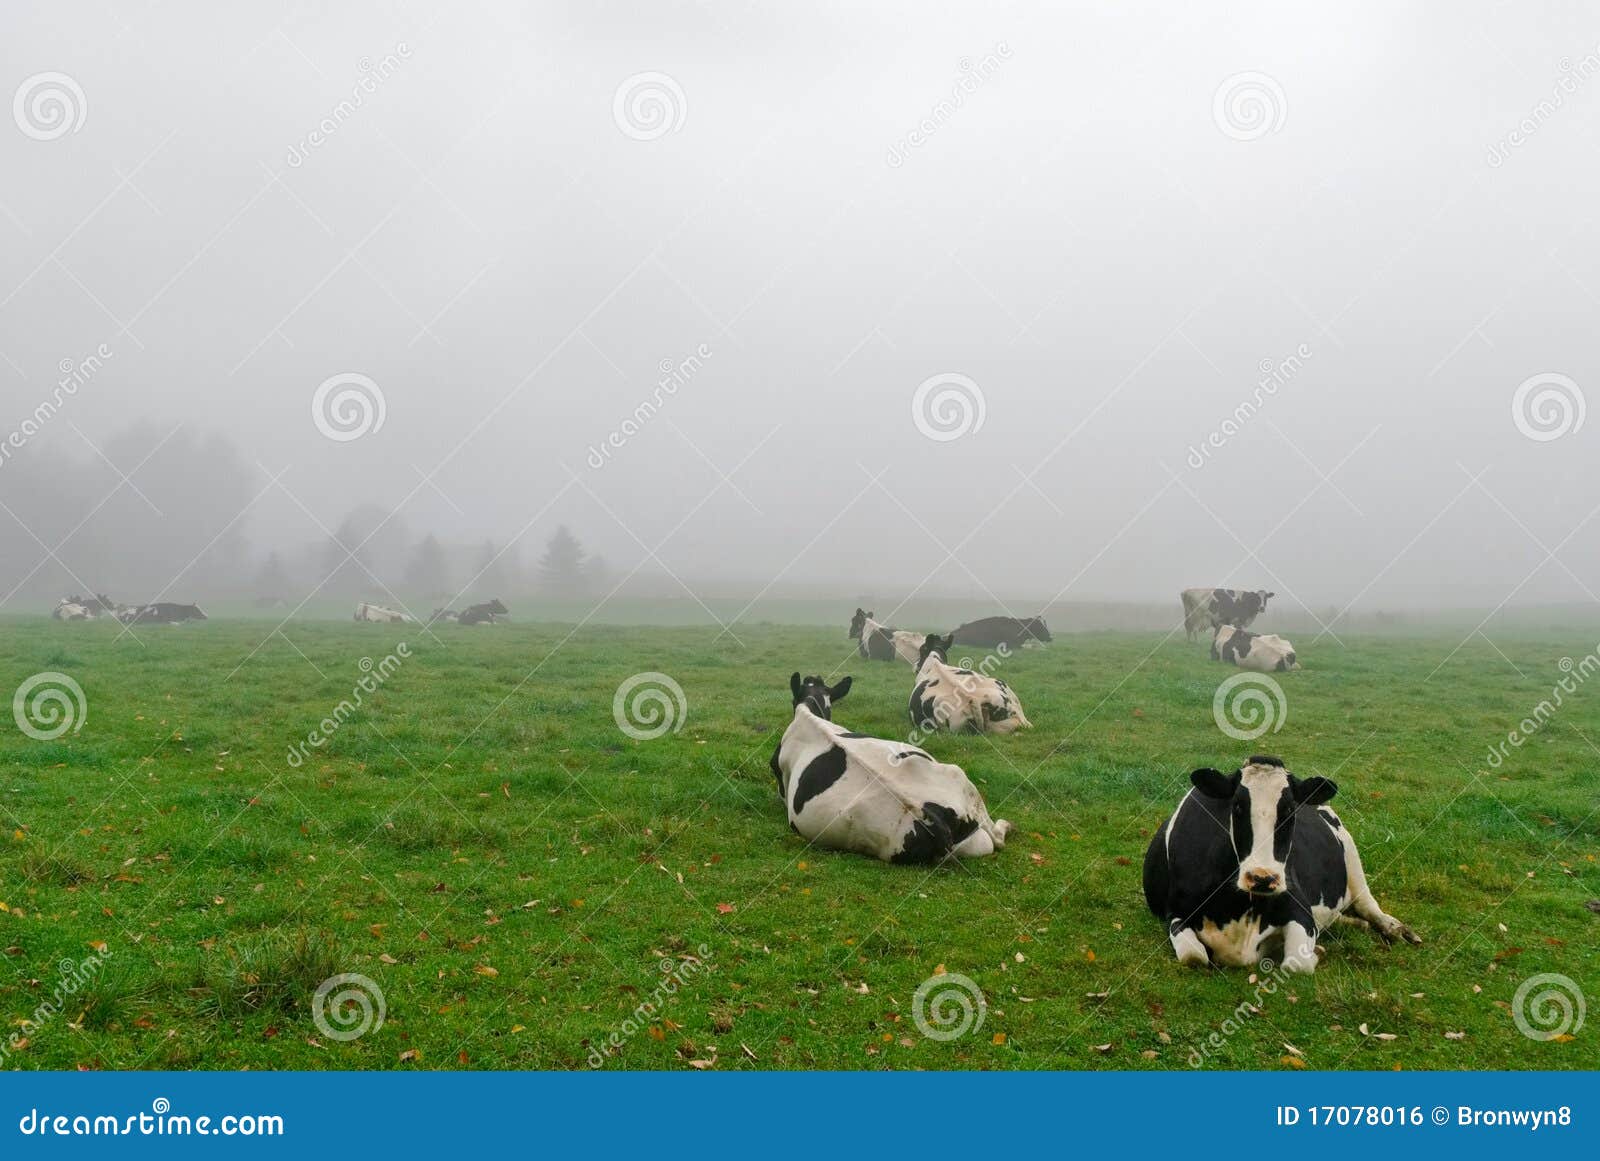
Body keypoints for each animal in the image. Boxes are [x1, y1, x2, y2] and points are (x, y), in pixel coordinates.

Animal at [1142, 756, 1420, 972]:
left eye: (1289, 810)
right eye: (1237, 806)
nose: (1263, 878)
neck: (1238, 910)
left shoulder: (1299, 908)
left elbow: (1297, 963)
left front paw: (1315, 951)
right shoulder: (1175, 912)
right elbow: (1194, 956)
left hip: (1351, 854)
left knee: (1366, 903)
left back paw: (1395, 928)